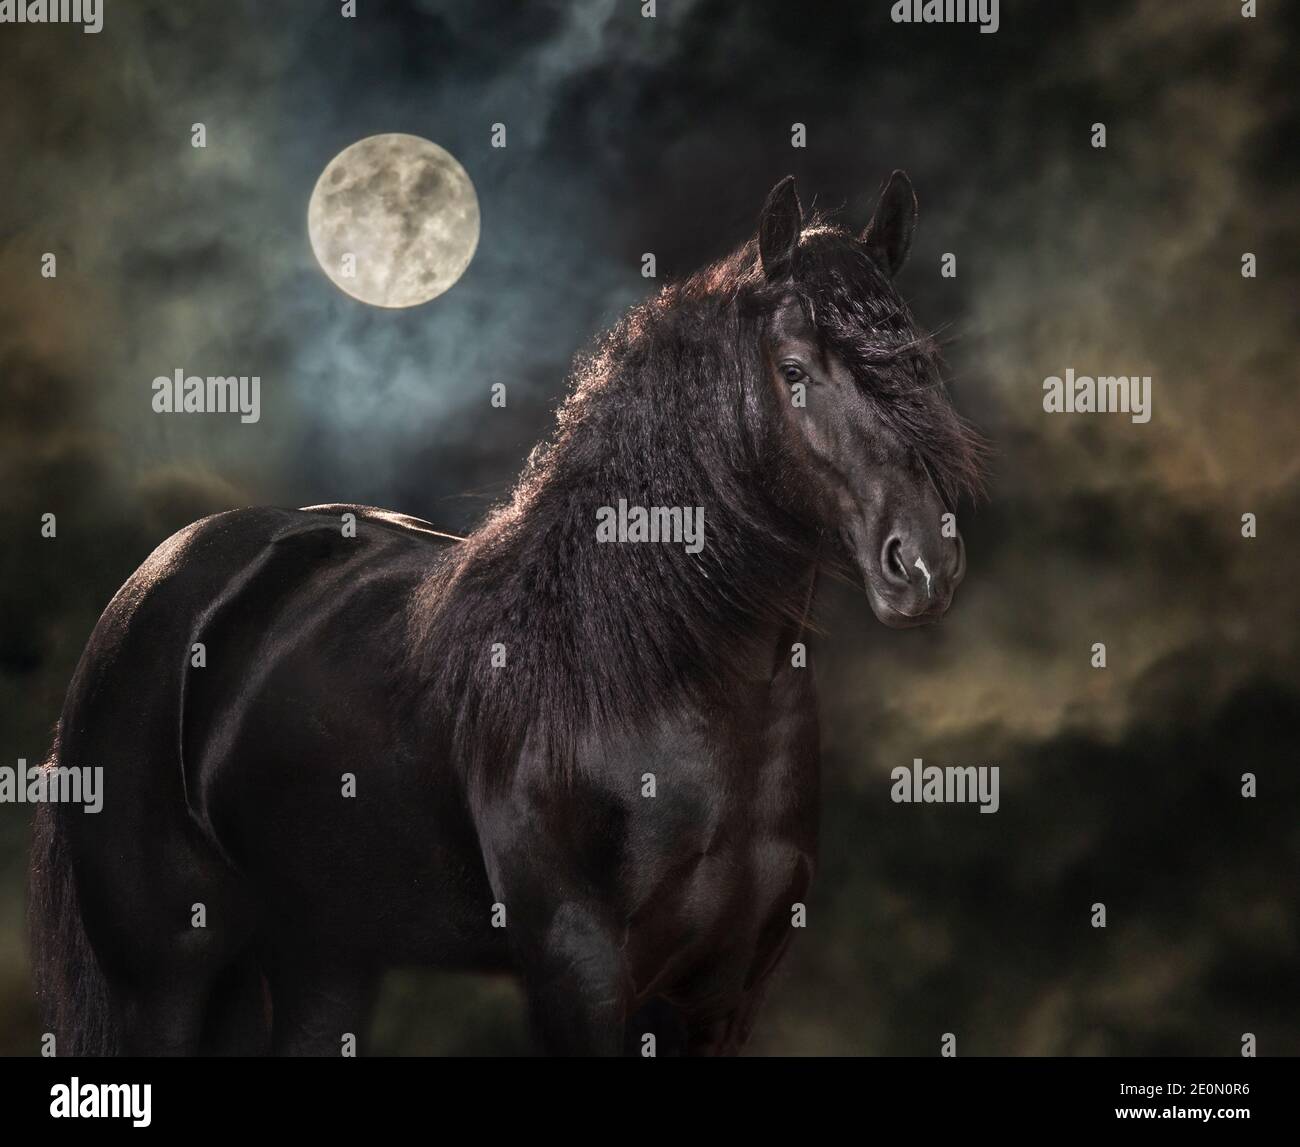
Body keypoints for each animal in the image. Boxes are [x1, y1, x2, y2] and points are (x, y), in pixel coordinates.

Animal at [29, 171, 984, 1056]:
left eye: (919, 364)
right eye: (794, 374)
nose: (922, 564)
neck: (643, 673)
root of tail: (156, 584)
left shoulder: (723, 991)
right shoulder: (577, 971)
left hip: (323, 956)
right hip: (165, 976)